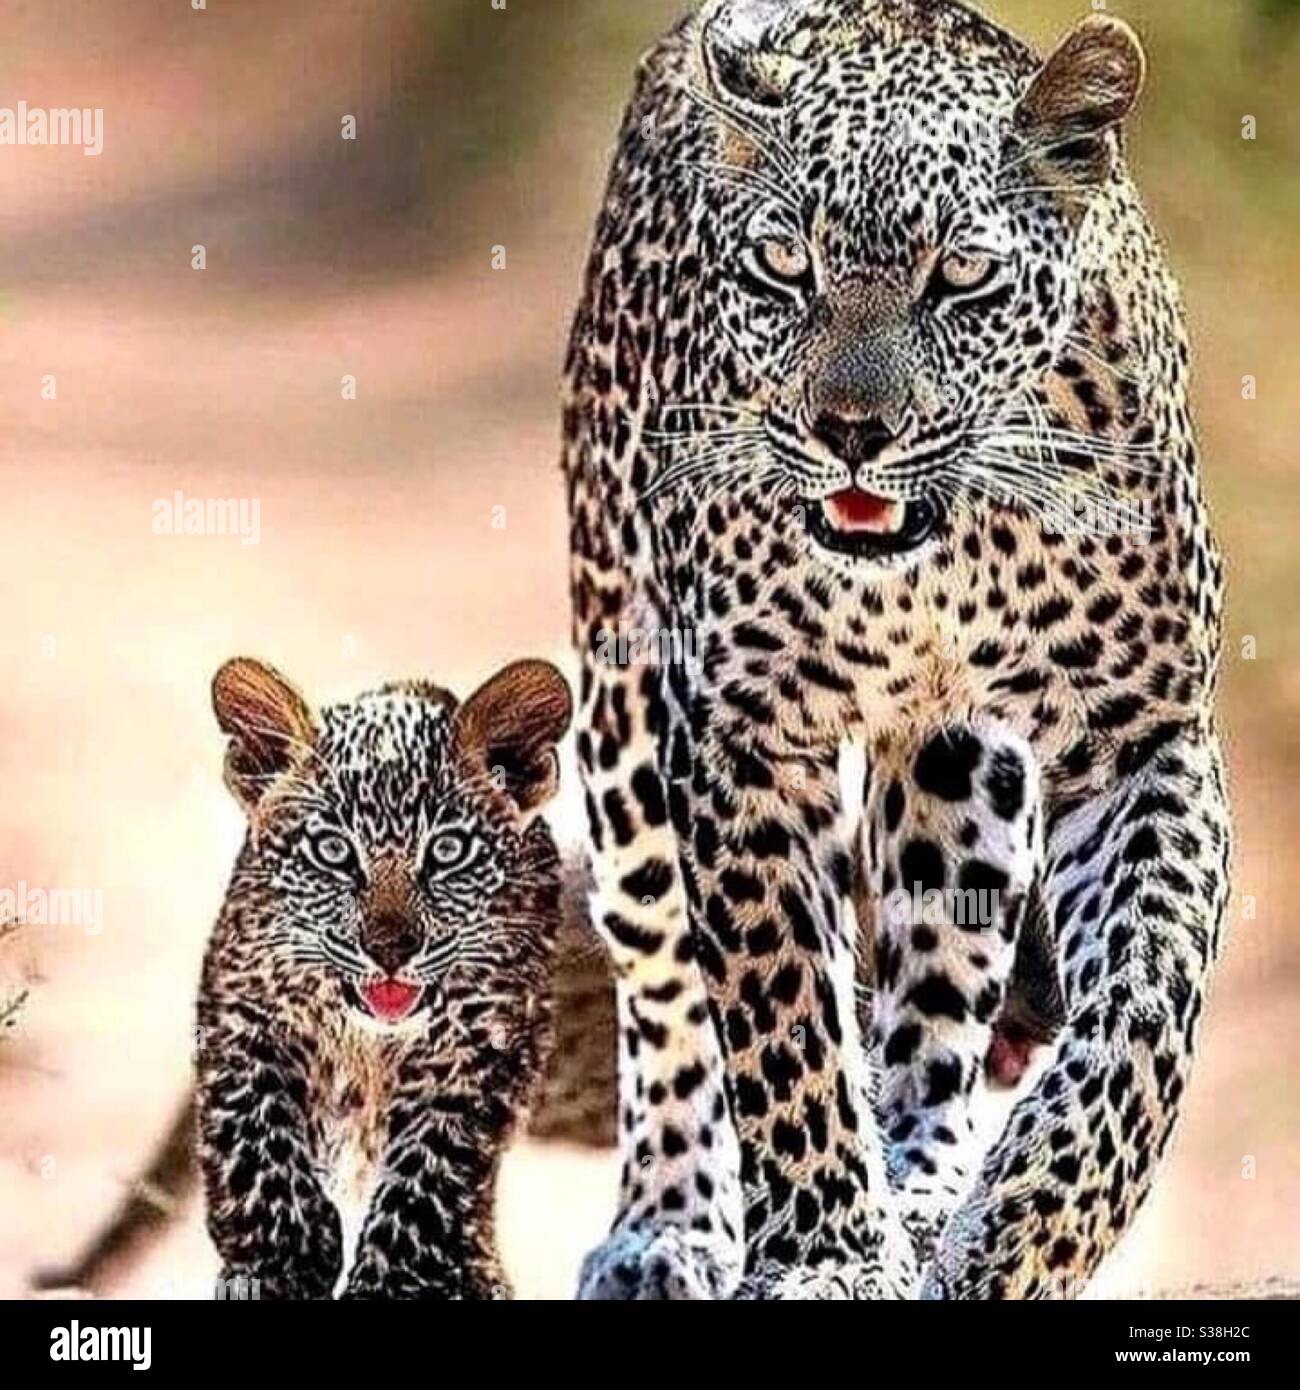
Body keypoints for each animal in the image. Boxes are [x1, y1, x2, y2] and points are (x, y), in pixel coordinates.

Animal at [195, 655, 572, 1299]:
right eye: (332, 850)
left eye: (446, 851)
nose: (389, 949)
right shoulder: (243, 1014)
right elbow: (252, 1133)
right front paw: (284, 1259)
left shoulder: (476, 1053)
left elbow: (429, 1175)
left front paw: (390, 1280)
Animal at [563, 0, 1231, 1300]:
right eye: (785, 267)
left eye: (959, 276)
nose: (851, 433)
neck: (939, 554)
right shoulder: (740, 738)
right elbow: (778, 1020)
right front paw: (821, 1250)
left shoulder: (1145, 733)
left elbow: (1146, 1002)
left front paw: (1026, 1229)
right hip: (621, 709)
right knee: (663, 982)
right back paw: (668, 1226)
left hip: (963, 770)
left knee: (932, 1002)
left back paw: (923, 1192)